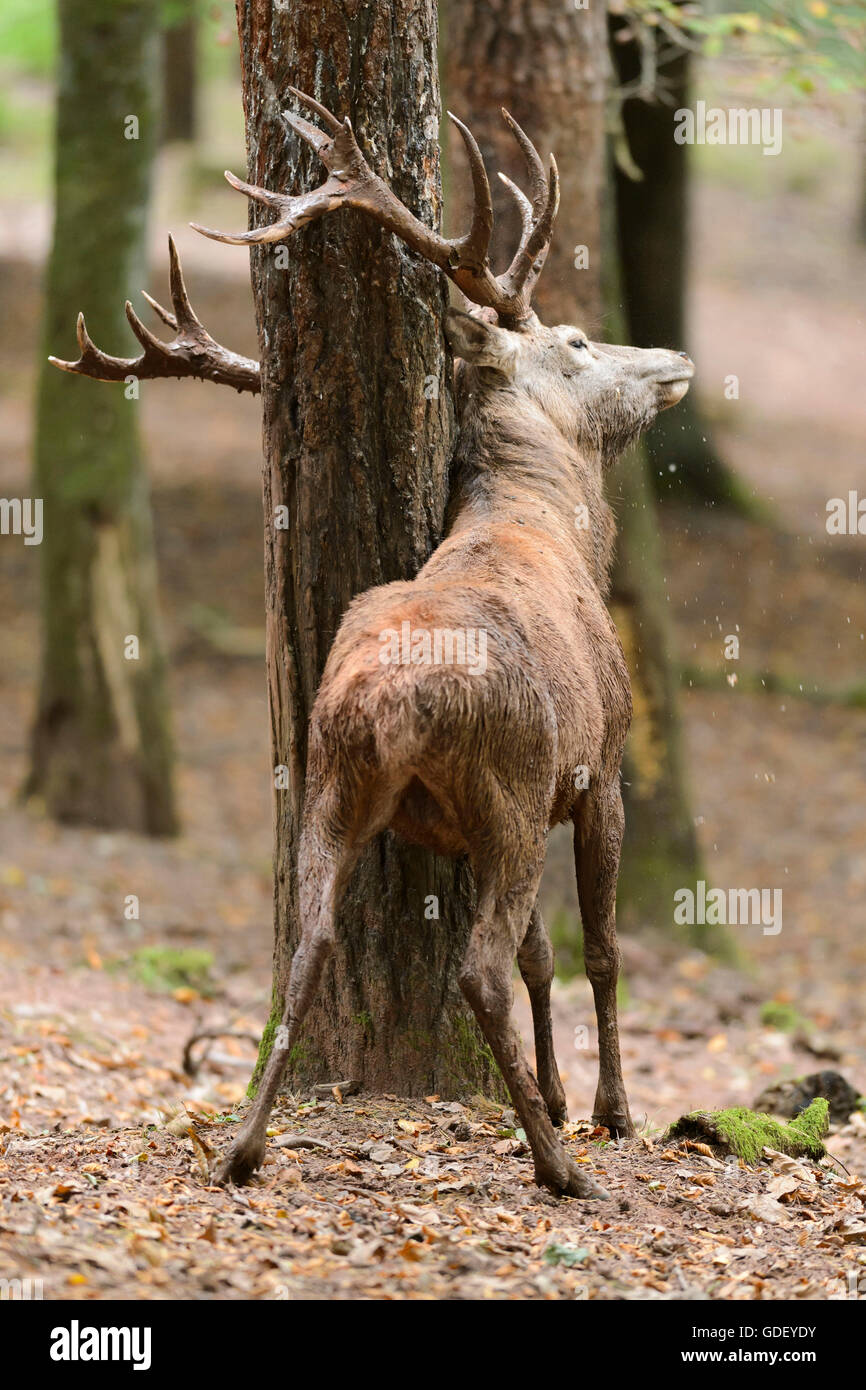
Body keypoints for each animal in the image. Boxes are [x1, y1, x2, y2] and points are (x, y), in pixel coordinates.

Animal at [52, 90, 693, 1198]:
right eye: (575, 341)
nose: (670, 362)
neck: (552, 526)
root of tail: (393, 702)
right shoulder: (594, 766)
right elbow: (598, 948)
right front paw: (610, 1111)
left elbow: (542, 953)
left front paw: (560, 1091)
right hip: (504, 788)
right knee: (479, 965)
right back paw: (559, 1166)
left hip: (332, 778)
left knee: (305, 946)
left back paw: (242, 1146)